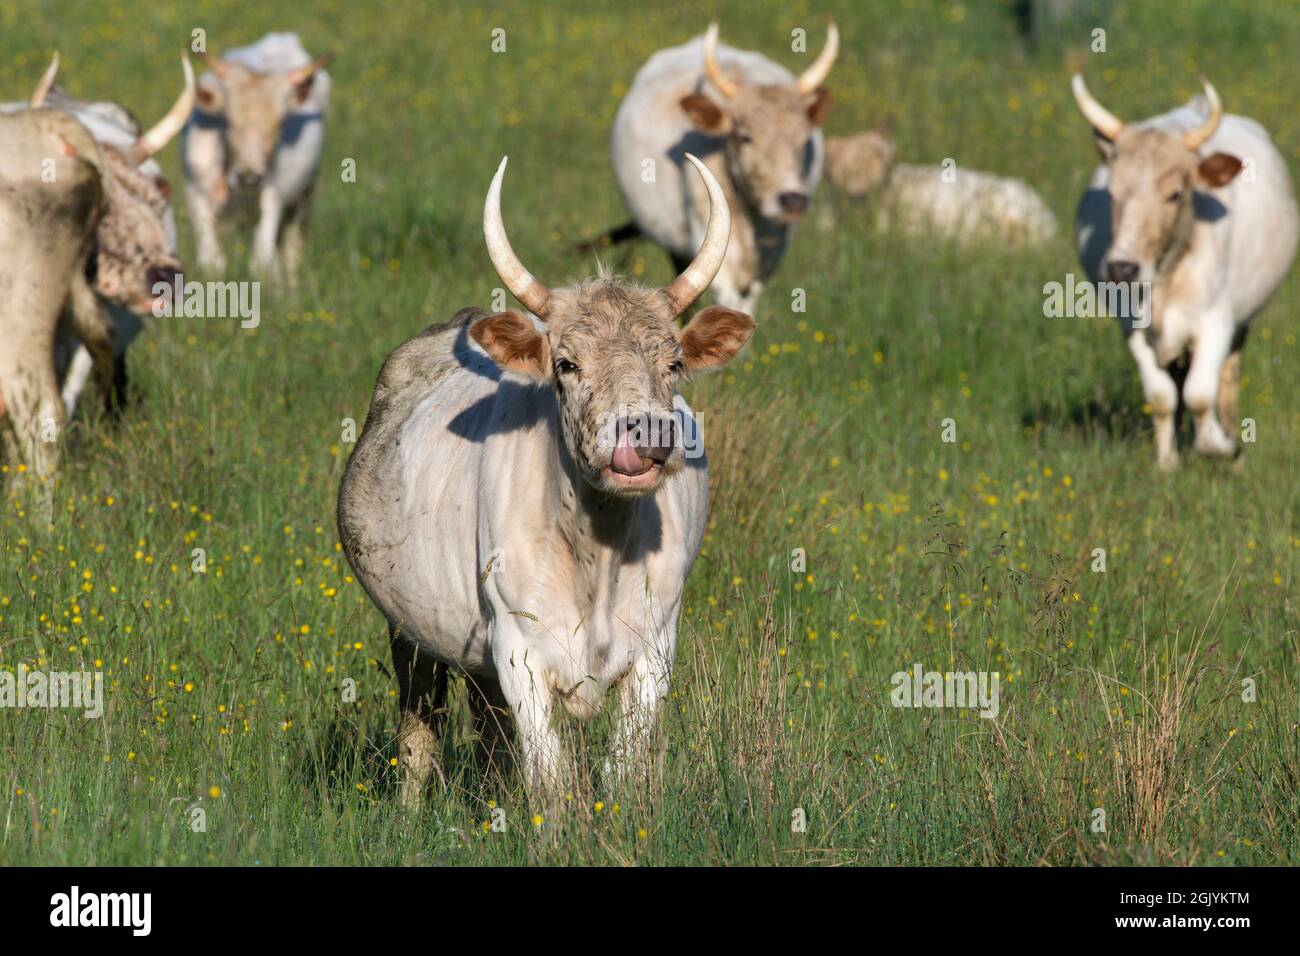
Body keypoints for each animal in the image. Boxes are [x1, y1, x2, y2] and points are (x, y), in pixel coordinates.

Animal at [182, 33, 333, 285]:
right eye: (228, 119)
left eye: (281, 123)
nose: (249, 177)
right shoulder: (195, 192)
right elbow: (212, 262)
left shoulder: (274, 196)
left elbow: (261, 263)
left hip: (304, 195)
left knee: (291, 248)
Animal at [338, 154, 755, 801]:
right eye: (566, 363)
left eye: (674, 362)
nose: (648, 437)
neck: (595, 553)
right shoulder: (518, 651)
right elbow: (550, 776)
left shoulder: (655, 649)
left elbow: (622, 770)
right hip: (409, 629)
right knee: (419, 732)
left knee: (488, 734)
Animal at [1072, 73, 1299, 469]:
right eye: (1112, 194)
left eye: (1175, 194)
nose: (1121, 268)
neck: (1165, 278)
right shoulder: (1132, 327)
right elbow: (1162, 396)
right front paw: (1167, 464)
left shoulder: (1217, 321)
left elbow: (1199, 393)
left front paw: (1220, 445)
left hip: (1241, 323)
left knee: (1225, 380)